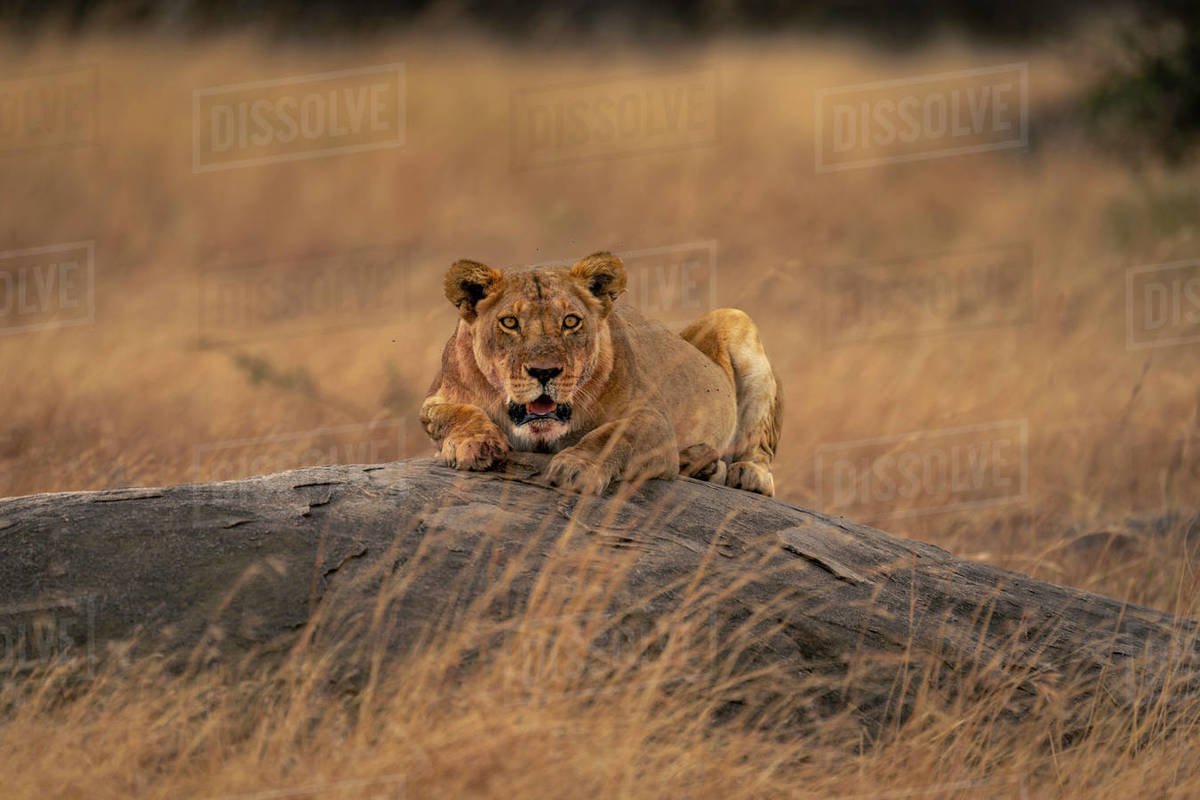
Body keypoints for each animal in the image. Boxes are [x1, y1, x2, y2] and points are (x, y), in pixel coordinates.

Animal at [420, 251, 781, 496]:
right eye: (509, 322)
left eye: (571, 321)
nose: (544, 372)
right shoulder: (436, 398)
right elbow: (455, 413)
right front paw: (475, 443)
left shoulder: (652, 418)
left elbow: (615, 434)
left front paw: (577, 466)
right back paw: (701, 464)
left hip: (736, 318)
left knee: (759, 450)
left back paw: (746, 473)